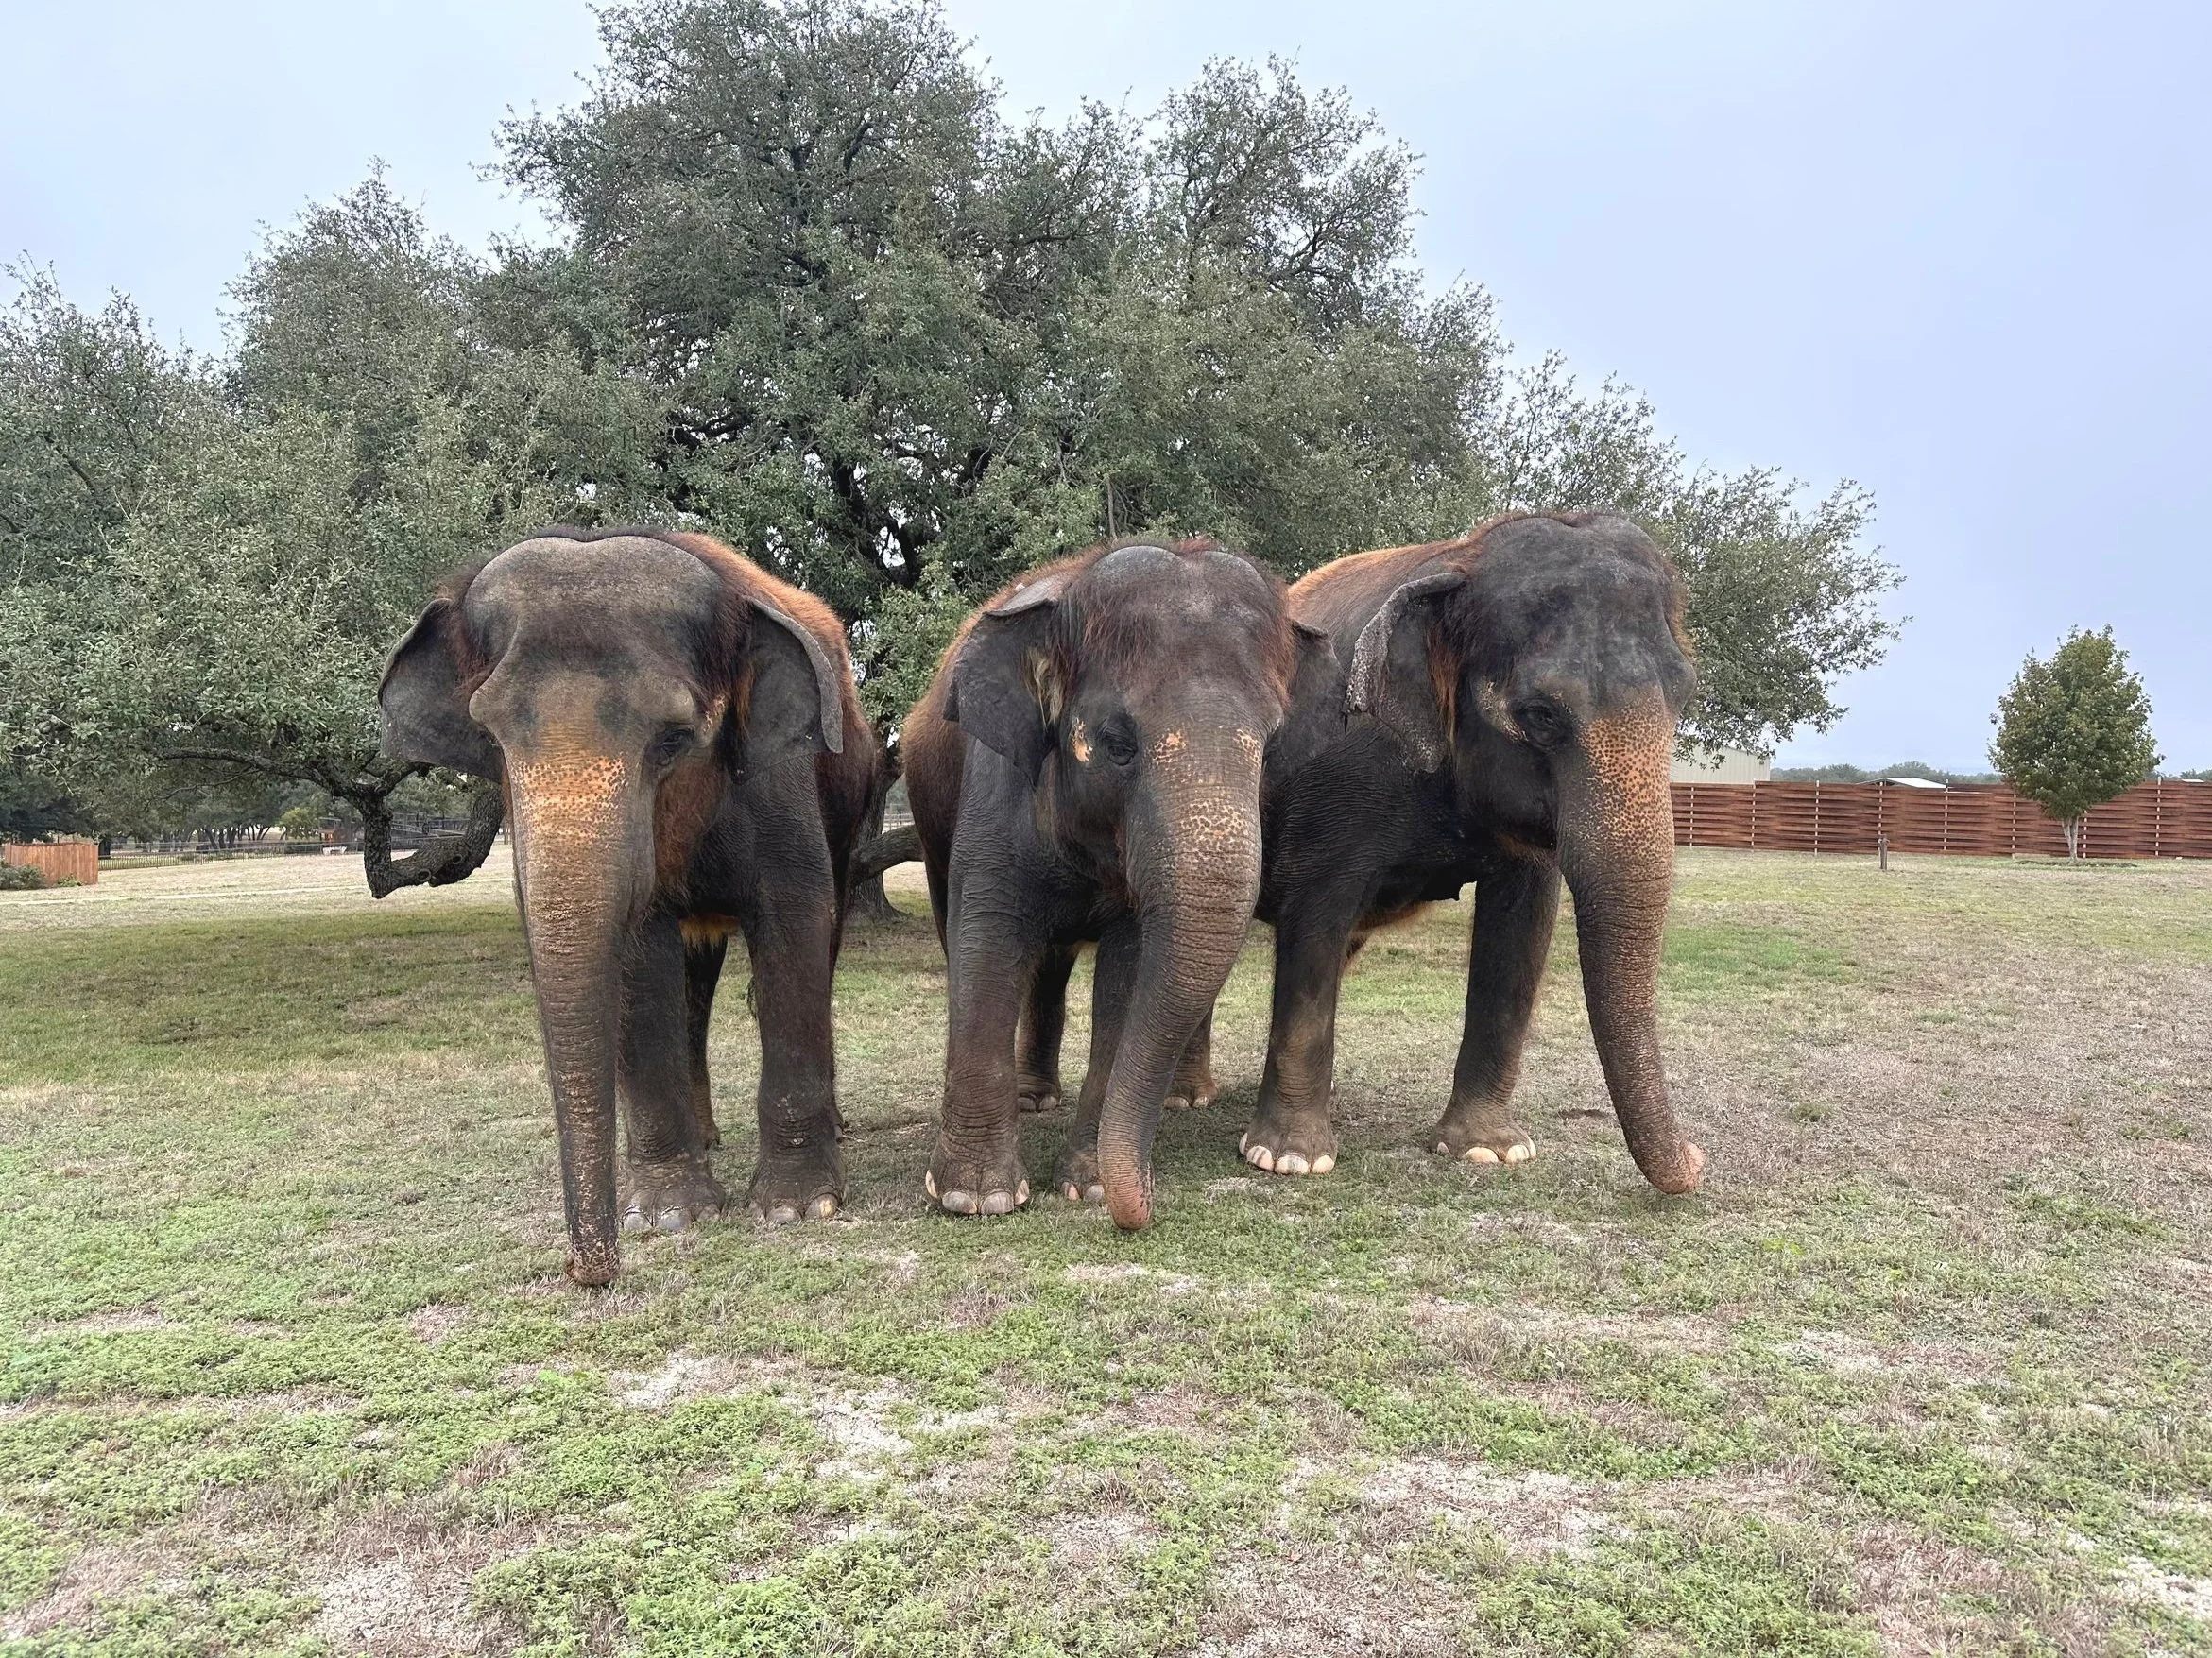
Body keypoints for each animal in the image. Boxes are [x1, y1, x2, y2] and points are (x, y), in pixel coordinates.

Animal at [378, 526, 876, 1284]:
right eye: (489, 740)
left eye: (673, 739)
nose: (589, 1270)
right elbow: (643, 956)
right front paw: (667, 1216)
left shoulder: (781, 783)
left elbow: (794, 925)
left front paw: (797, 1209)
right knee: (695, 981)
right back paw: (708, 1137)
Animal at [900, 538, 1340, 1230]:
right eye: (1116, 742)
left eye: (1270, 748)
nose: (1146, 1202)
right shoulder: (994, 783)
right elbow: (988, 943)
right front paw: (976, 1198)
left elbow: (1129, 969)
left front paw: (1087, 1188)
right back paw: (1029, 1104)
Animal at [1224, 510, 1707, 1194]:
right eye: (1541, 713)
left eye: (1684, 696)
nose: (1699, 1156)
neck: (1461, 559)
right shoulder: (1337, 785)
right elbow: (1315, 917)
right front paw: (1287, 1159)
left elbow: (1521, 928)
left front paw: (1488, 1151)